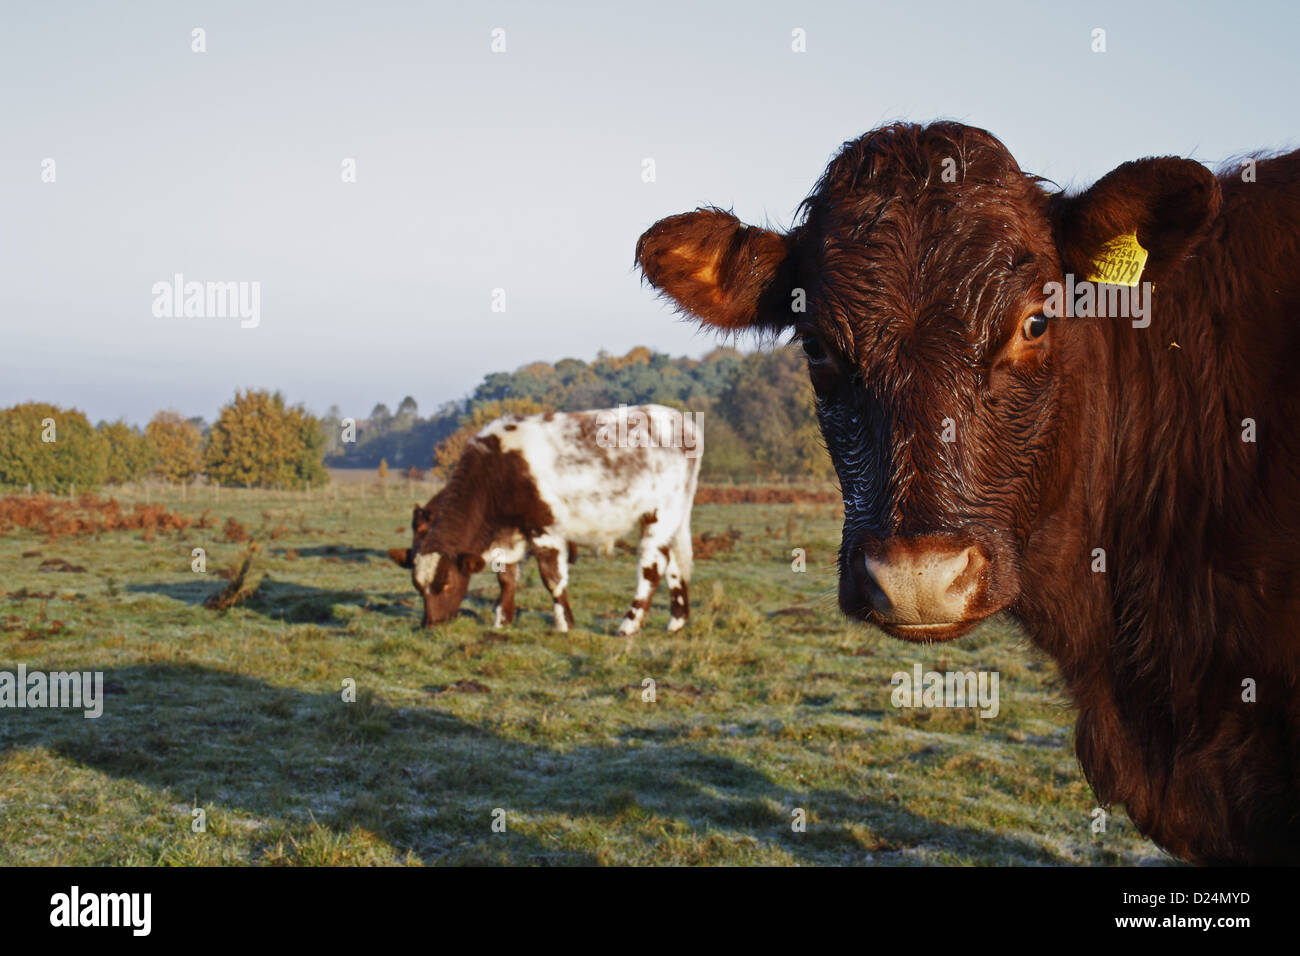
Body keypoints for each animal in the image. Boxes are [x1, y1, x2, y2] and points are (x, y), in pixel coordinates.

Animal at [389, 405, 701, 635]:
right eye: (418, 588)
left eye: (447, 585)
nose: (431, 626)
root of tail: (680, 420)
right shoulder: (511, 533)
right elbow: (506, 576)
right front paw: (502, 621)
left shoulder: (543, 527)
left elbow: (552, 577)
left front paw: (564, 623)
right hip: (675, 518)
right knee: (675, 565)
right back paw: (676, 622)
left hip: (659, 515)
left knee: (652, 567)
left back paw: (628, 625)